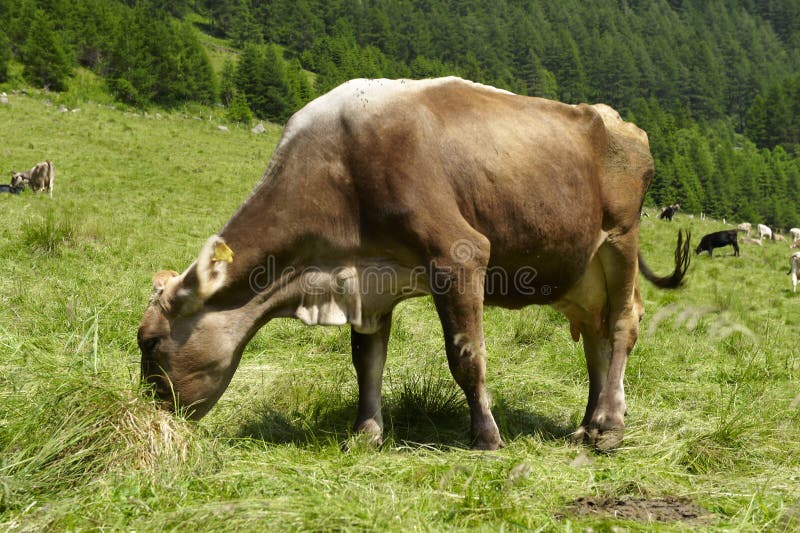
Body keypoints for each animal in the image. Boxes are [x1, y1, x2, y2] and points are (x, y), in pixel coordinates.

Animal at [138, 77, 690, 452]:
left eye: (150, 342)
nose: (148, 415)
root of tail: (616, 120)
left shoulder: (460, 254)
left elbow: (466, 356)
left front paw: (486, 437)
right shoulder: (367, 281)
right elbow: (366, 362)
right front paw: (366, 433)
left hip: (619, 239)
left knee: (621, 324)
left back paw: (610, 428)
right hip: (578, 268)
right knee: (596, 333)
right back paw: (588, 422)